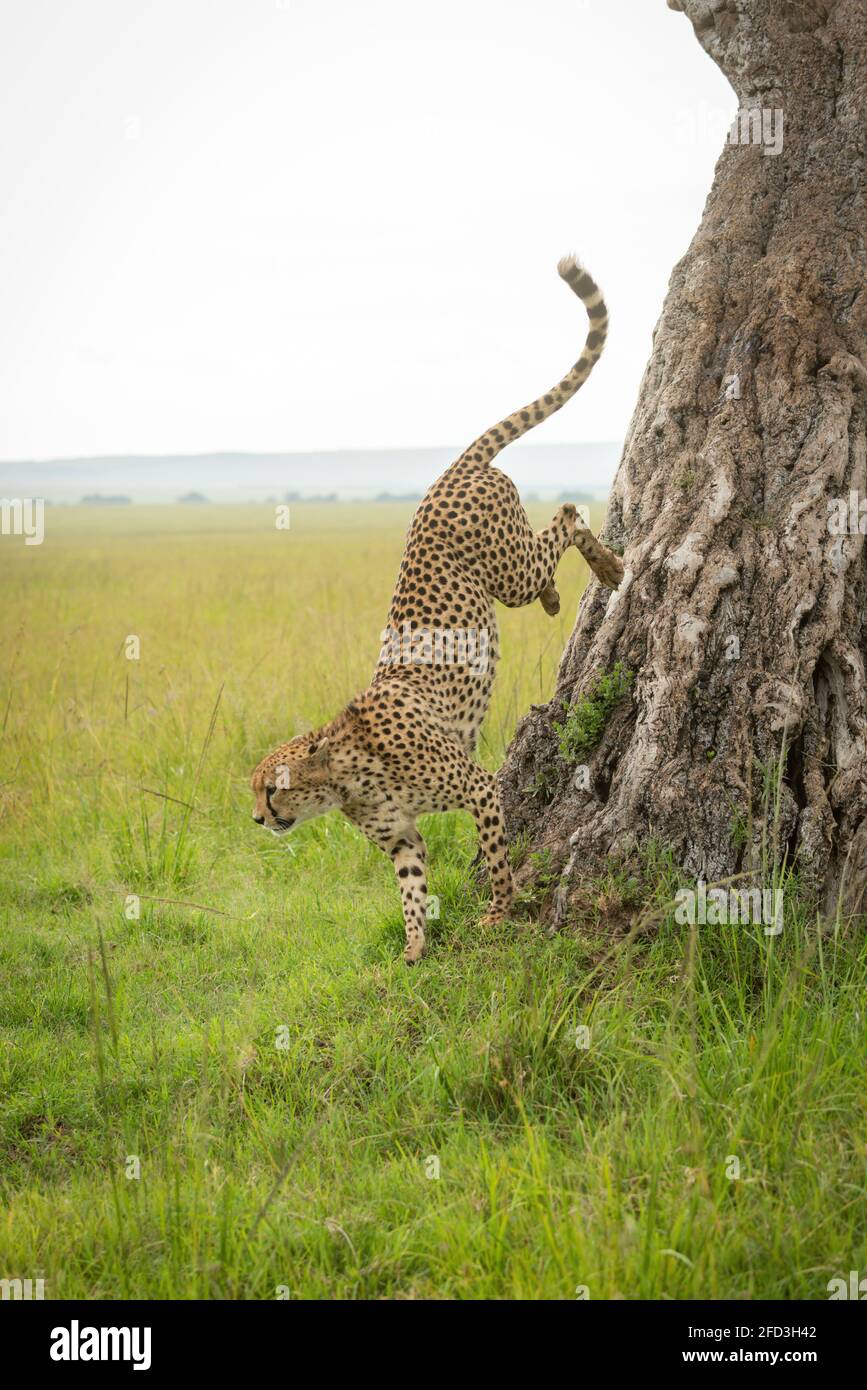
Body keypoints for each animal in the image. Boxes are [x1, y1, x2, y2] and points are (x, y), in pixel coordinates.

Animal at [250, 255, 624, 963]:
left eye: (273, 786)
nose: (257, 818)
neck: (345, 774)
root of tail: (450, 471)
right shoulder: (403, 838)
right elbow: (411, 891)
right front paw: (413, 953)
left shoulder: (478, 785)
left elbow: (495, 855)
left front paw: (499, 913)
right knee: (552, 537)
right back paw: (561, 594)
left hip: (507, 568)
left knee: (565, 514)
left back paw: (608, 570)